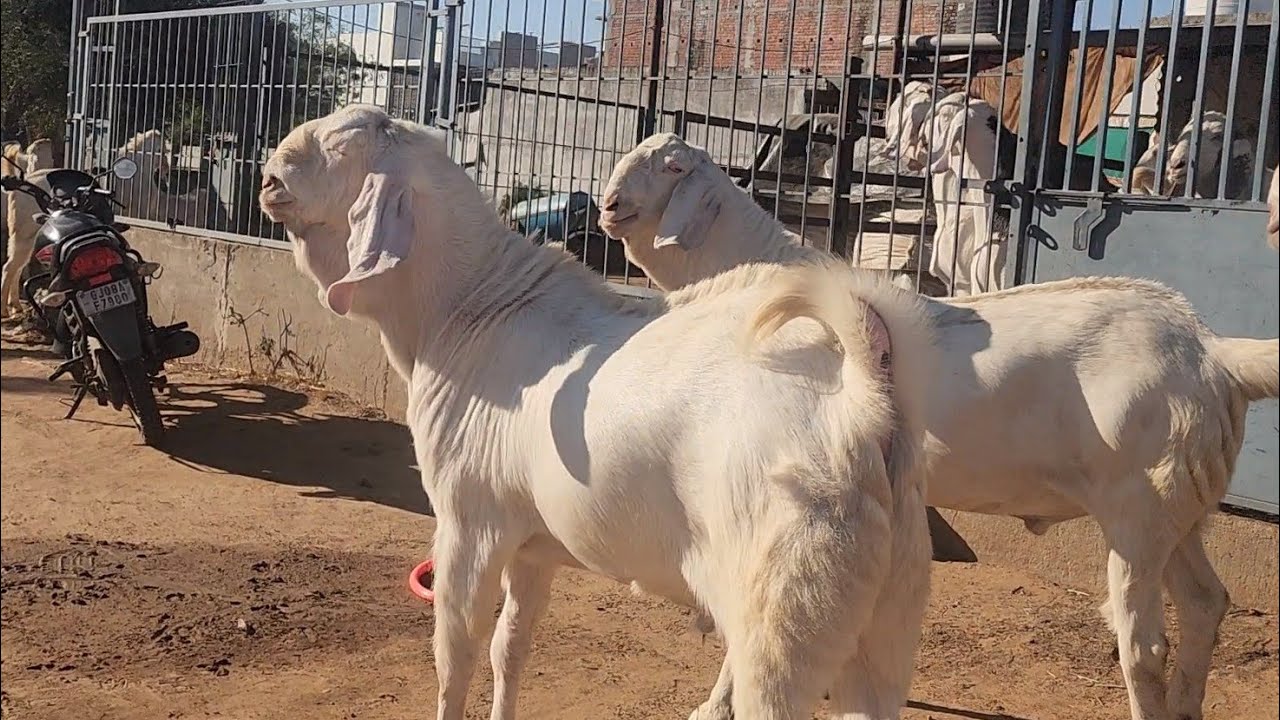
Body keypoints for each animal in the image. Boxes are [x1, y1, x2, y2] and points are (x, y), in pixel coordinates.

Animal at [259, 104, 937, 720]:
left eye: (345, 144)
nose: (268, 177)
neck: (466, 309)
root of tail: (861, 406)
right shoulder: (533, 545)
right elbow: (510, 647)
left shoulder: (470, 521)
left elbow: (455, 657)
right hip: (886, 620)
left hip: (787, 610)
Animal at [600, 131, 1280, 720]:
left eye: (673, 167)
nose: (607, 206)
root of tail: (1212, 351)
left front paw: (714, 704)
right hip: (1181, 499)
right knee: (1205, 603)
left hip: (1136, 505)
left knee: (1145, 644)